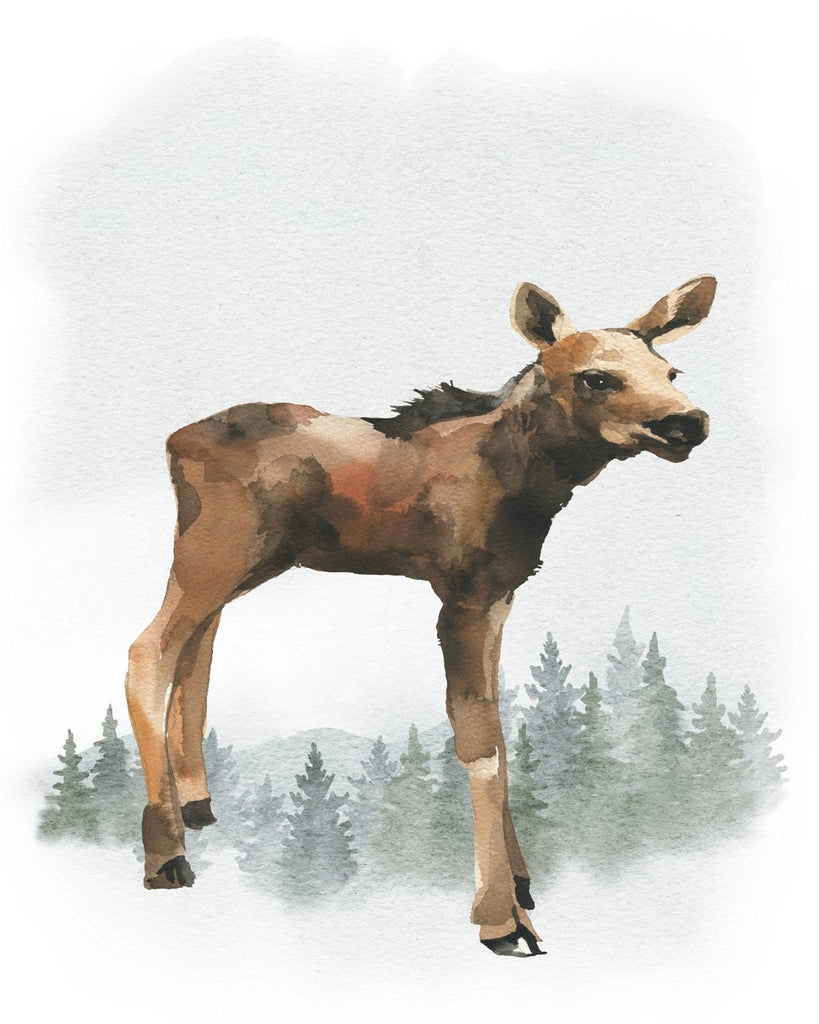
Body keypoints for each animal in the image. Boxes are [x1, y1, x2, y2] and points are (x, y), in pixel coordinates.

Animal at [125, 274, 715, 956]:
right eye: (596, 377)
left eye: (670, 370)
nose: (687, 422)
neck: (531, 484)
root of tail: (172, 442)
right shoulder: (460, 596)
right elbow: (478, 743)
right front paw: (501, 916)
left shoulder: (500, 595)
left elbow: (497, 728)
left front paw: (522, 882)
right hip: (216, 550)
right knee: (150, 648)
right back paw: (166, 854)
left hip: (244, 560)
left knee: (199, 642)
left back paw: (196, 803)